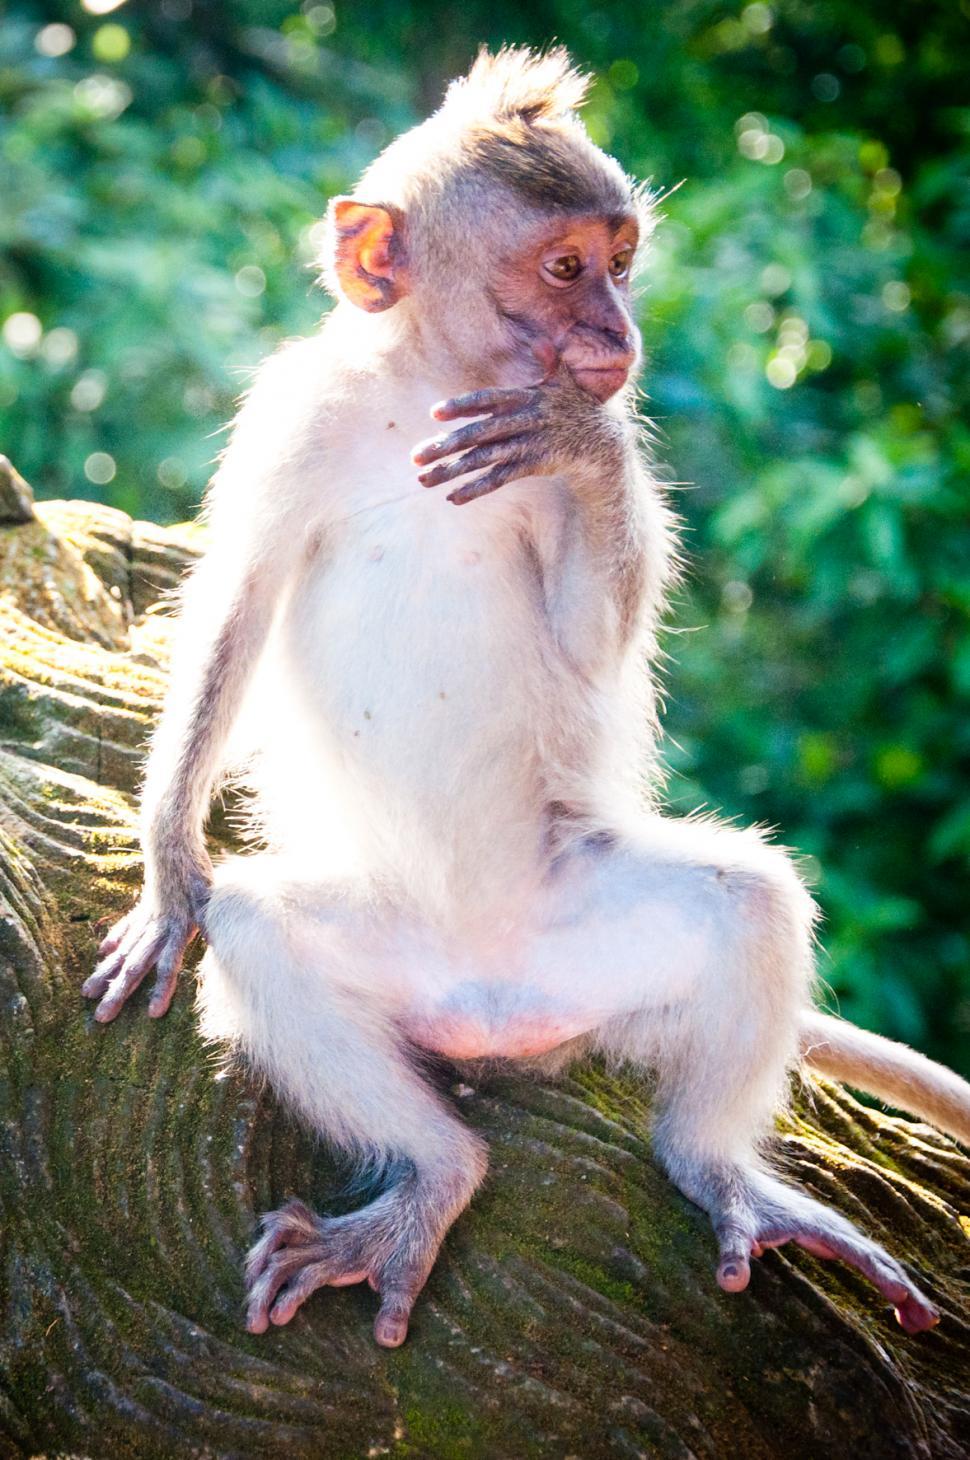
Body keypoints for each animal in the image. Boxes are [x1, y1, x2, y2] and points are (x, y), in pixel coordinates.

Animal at [84, 46, 970, 1350]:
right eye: (564, 266)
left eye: (620, 259)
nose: (616, 330)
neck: (426, 392)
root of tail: (498, 1006)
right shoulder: (294, 418)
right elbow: (234, 612)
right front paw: (166, 867)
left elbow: (588, 640)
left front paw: (581, 436)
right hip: (402, 946)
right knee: (256, 928)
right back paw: (432, 1172)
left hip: (589, 950)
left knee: (749, 904)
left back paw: (719, 1172)